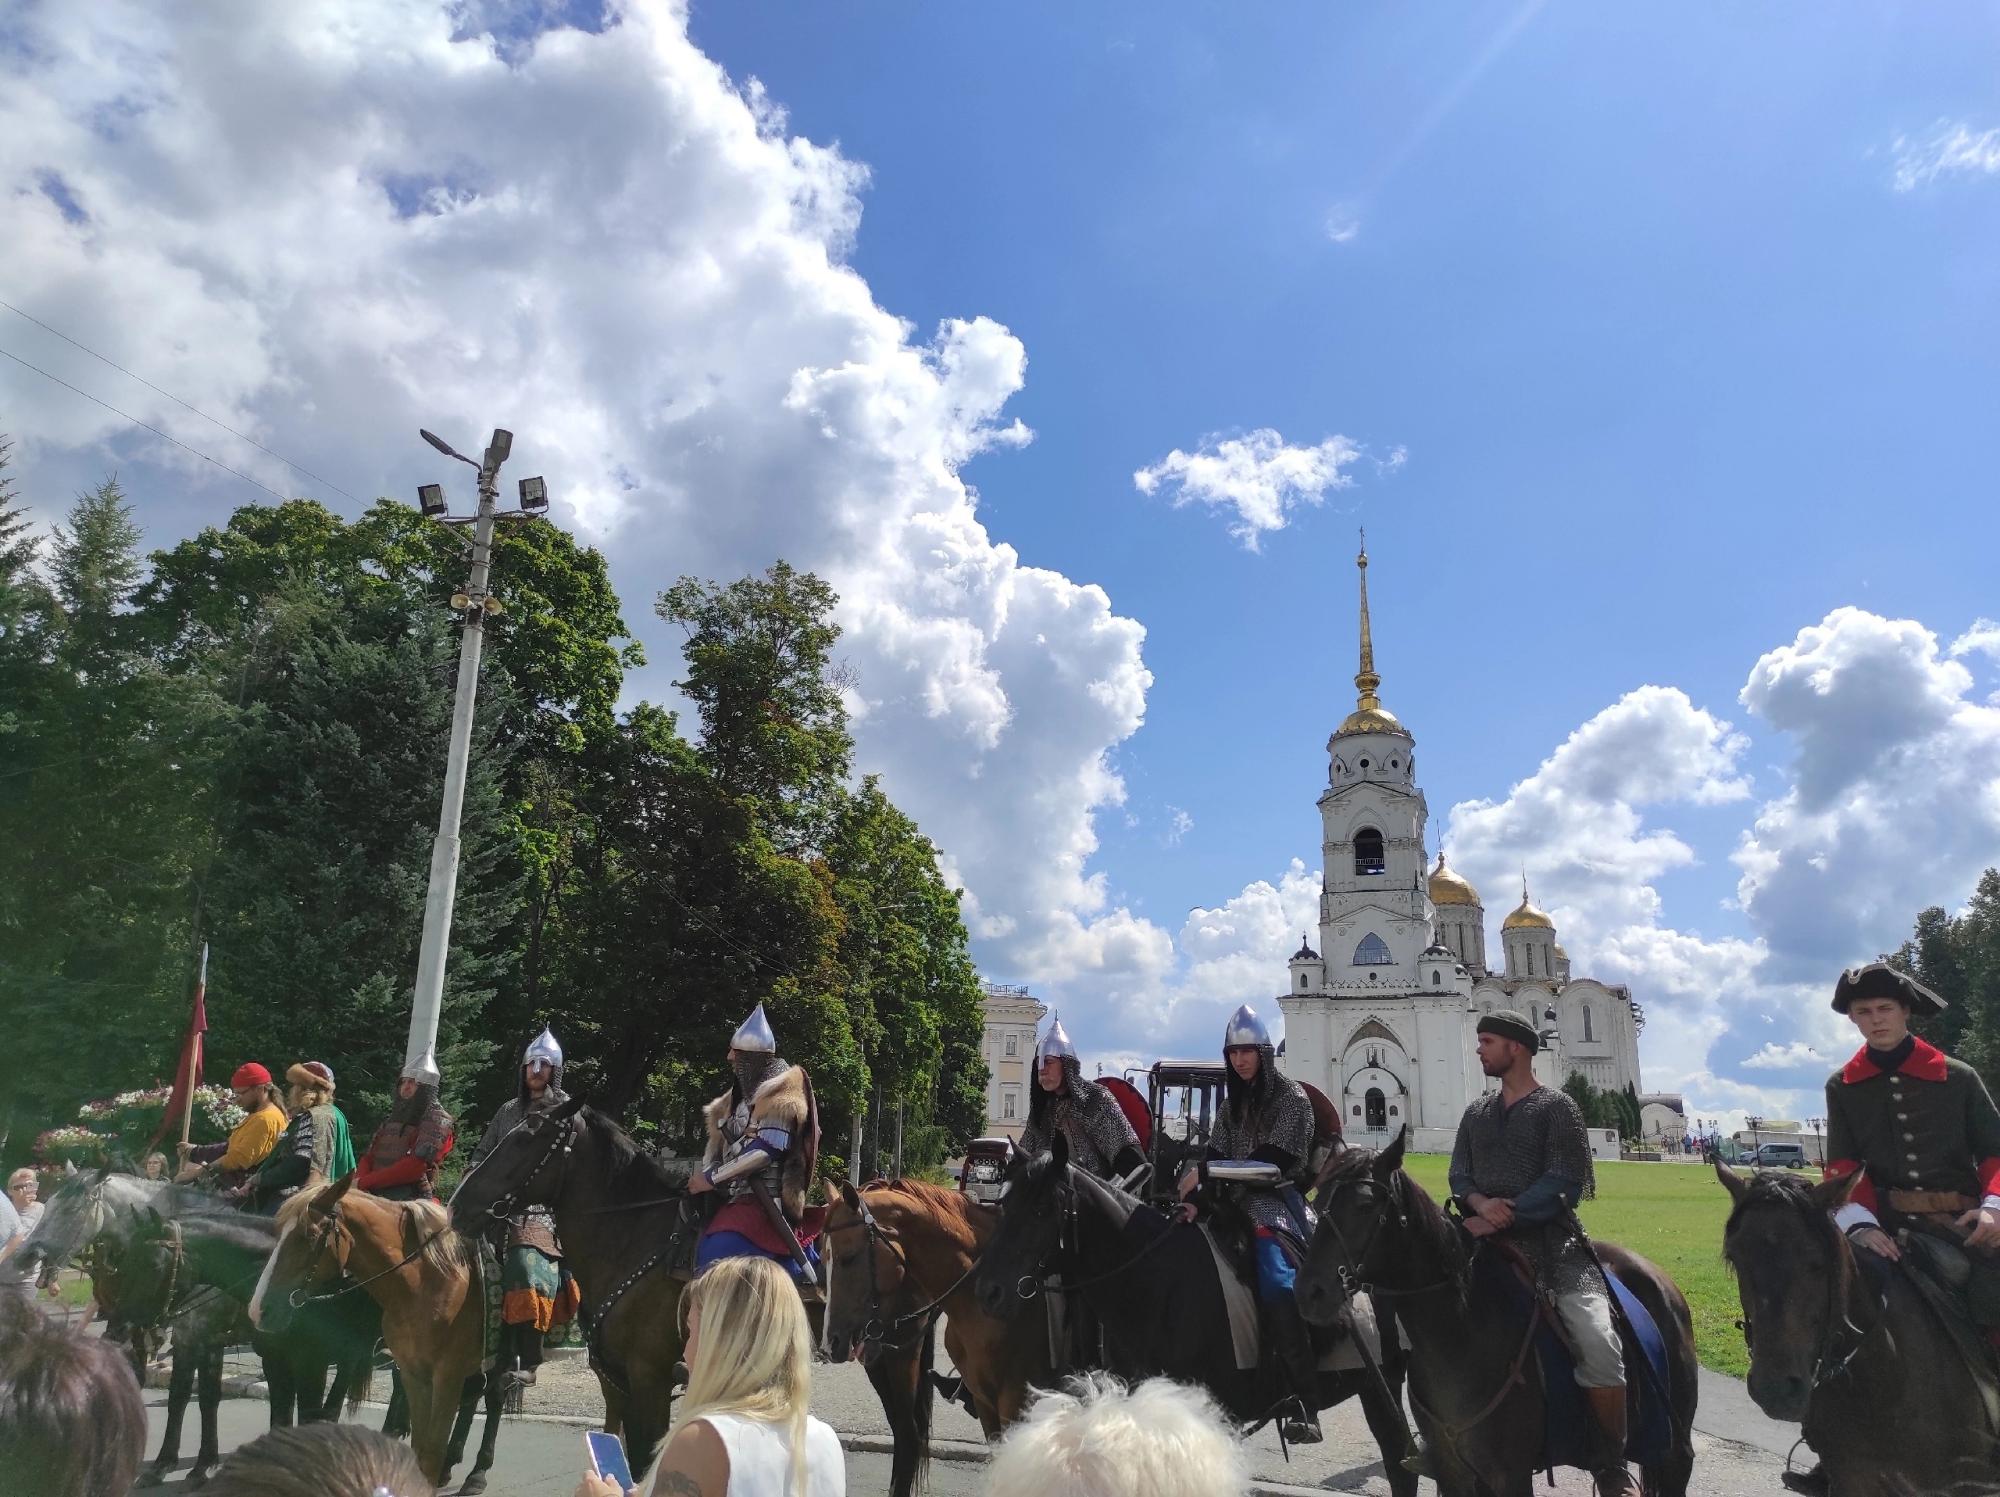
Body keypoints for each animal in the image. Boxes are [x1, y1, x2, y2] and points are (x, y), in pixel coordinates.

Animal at [252, 1184, 498, 1488]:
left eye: (308, 1236)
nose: (258, 1310)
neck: (427, 1284)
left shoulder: (446, 1377)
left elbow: (431, 1452)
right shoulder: (413, 1373)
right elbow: (421, 1446)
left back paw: (477, 1473)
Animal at [1296, 1136, 1704, 1496]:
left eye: (1365, 1205)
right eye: (1317, 1199)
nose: (1309, 1292)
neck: (1459, 1332)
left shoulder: (1510, 1475)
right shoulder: (1454, 1472)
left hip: (1675, 1450)